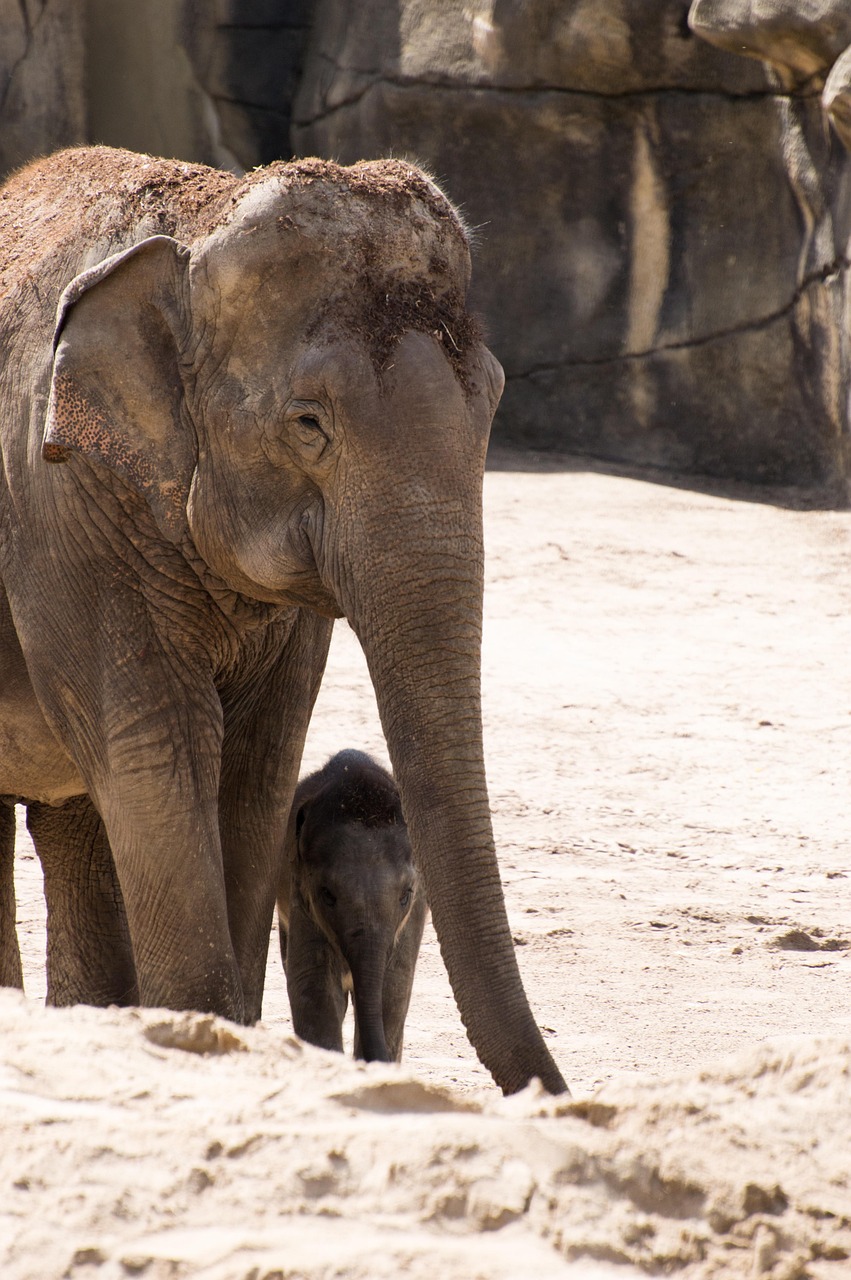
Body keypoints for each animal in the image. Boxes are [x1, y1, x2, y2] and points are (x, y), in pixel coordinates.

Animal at [278, 750, 426, 1063]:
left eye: (405, 896)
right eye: (327, 895)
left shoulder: (416, 911)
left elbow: (394, 987)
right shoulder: (300, 893)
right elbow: (313, 984)